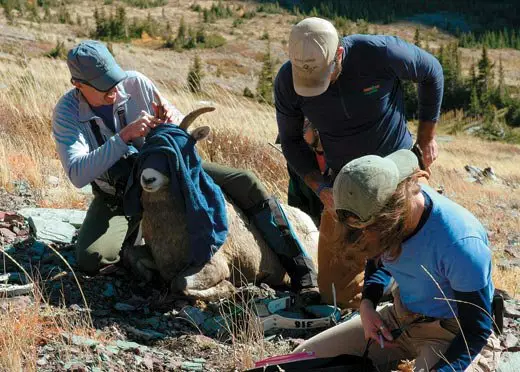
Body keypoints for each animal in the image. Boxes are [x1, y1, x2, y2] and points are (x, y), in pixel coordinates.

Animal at [134, 108, 320, 302]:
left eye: (176, 150)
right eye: (148, 146)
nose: (148, 179)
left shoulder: (214, 265)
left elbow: (180, 283)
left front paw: (230, 288)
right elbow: (132, 258)